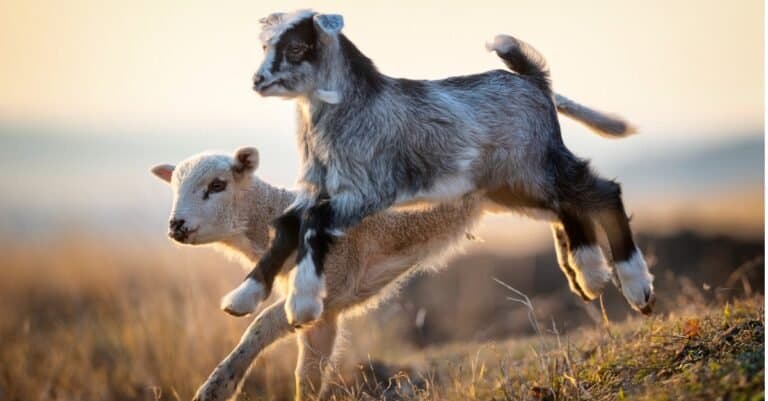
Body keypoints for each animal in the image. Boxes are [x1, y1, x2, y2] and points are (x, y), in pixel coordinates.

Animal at [151, 148, 488, 401]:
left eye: (217, 185)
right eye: (174, 189)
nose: (176, 225)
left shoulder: (330, 285)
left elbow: (260, 325)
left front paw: (215, 388)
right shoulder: (325, 314)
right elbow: (309, 376)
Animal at [229, 10, 655, 327]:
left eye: (297, 47)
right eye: (266, 45)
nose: (258, 80)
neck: (350, 109)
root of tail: (534, 81)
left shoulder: (367, 191)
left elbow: (314, 223)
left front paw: (302, 303)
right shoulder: (317, 188)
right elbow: (287, 225)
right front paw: (242, 298)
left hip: (536, 164)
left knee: (603, 192)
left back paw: (636, 288)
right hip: (512, 183)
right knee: (568, 205)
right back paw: (591, 275)